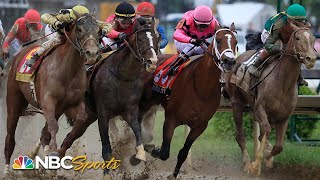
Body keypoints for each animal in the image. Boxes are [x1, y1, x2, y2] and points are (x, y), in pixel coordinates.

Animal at [3, 13, 101, 173]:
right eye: (79, 29)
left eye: (99, 31)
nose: (92, 53)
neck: (68, 71)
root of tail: (19, 54)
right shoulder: (48, 101)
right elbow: (54, 127)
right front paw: (53, 152)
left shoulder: (73, 104)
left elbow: (80, 121)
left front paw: (57, 154)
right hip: (13, 100)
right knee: (10, 136)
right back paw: (6, 170)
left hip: (57, 110)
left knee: (44, 133)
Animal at [139, 23, 239, 179]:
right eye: (218, 40)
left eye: (236, 42)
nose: (229, 61)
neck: (200, 87)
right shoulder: (171, 119)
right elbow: (164, 152)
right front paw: (153, 149)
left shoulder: (200, 126)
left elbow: (183, 153)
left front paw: (172, 175)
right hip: (144, 102)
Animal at [224, 22, 316, 176]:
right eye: (297, 38)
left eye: (314, 38)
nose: (311, 59)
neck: (283, 82)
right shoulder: (260, 109)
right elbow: (266, 130)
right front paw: (255, 165)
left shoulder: (284, 117)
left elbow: (278, 146)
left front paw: (268, 157)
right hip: (237, 103)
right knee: (240, 135)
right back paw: (247, 163)